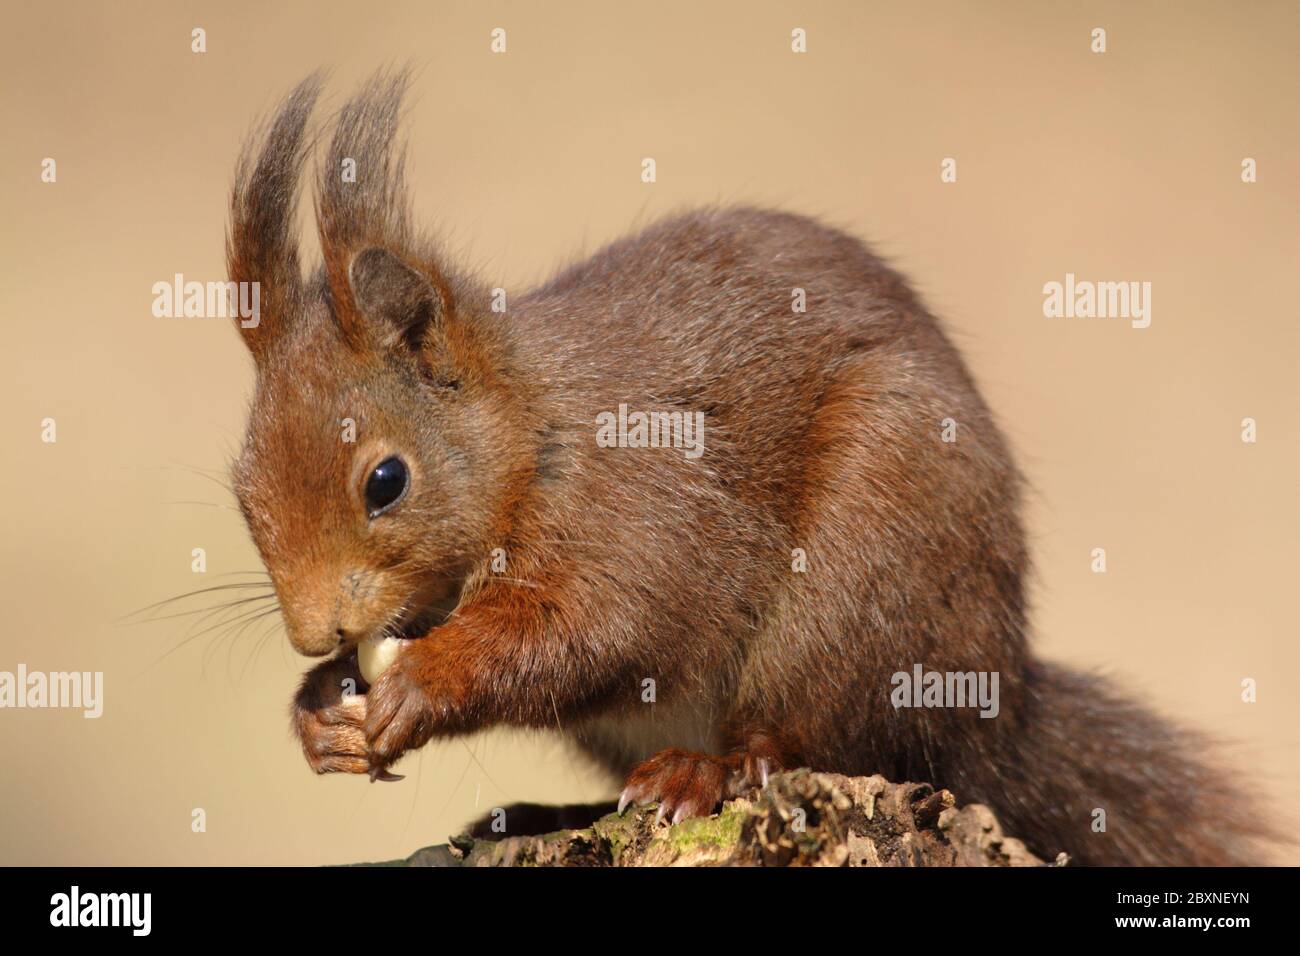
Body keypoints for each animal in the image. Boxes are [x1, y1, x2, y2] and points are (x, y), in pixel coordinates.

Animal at [225, 72, 1266, 866]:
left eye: (386, 481)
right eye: (241, 493)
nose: (314, 635)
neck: (532, 437)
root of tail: (1000, 704)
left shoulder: (639, 510)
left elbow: (597, 626)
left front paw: (419, 684)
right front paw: (319, 715)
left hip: (866, 576)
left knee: (809, 736)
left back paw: (706, 771)